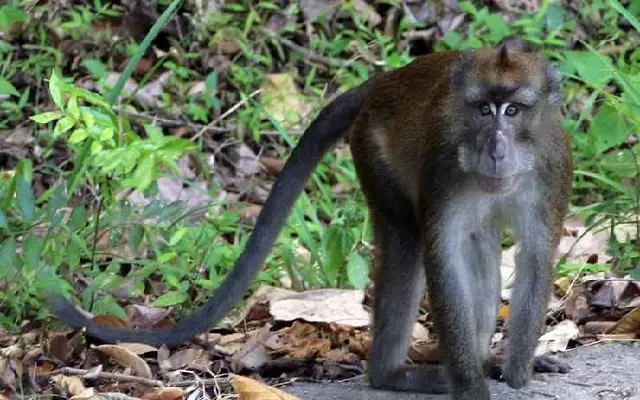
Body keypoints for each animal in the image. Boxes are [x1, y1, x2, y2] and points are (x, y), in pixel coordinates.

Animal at [47, 44, 572, 399]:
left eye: (514, 109)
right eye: (484, 109)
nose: (496, 149)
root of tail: (388, 79)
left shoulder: (552, 165)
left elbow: (535, 256)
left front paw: (516, 372)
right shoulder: (442, 162)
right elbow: (443, 254)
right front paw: (471, 386)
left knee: (476, 244)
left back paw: (481, 360)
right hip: (371, 149)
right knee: (410, 239)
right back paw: (393, 375)